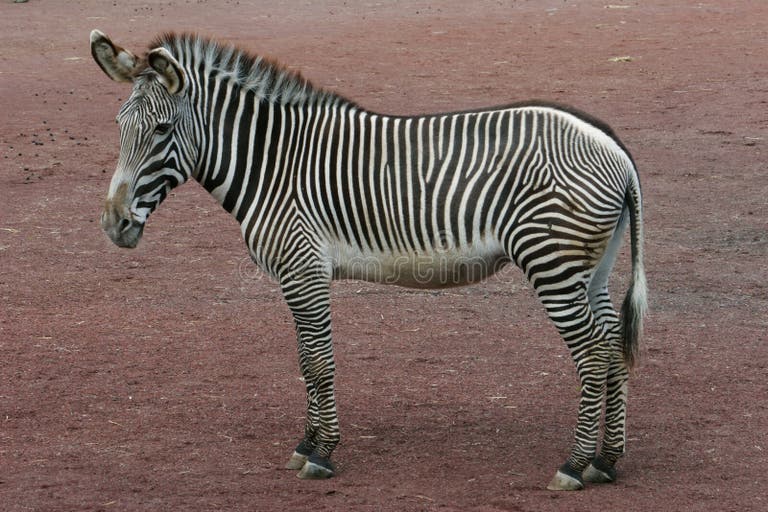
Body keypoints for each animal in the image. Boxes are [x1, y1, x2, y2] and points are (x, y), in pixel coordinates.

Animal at [90, 30, 646, 491]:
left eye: (162, 130)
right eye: (119, 126)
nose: (114, 224)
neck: (274, 164)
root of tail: (614, 147)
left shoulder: (304, 268)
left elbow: (317, 361)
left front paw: (322, 453)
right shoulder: (298, 276)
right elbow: (304, 360)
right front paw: (306, 444)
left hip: (551, 262)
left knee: (592, 353)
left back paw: (574, 465)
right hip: (589, 269)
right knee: (613, 347)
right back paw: (606, 461)